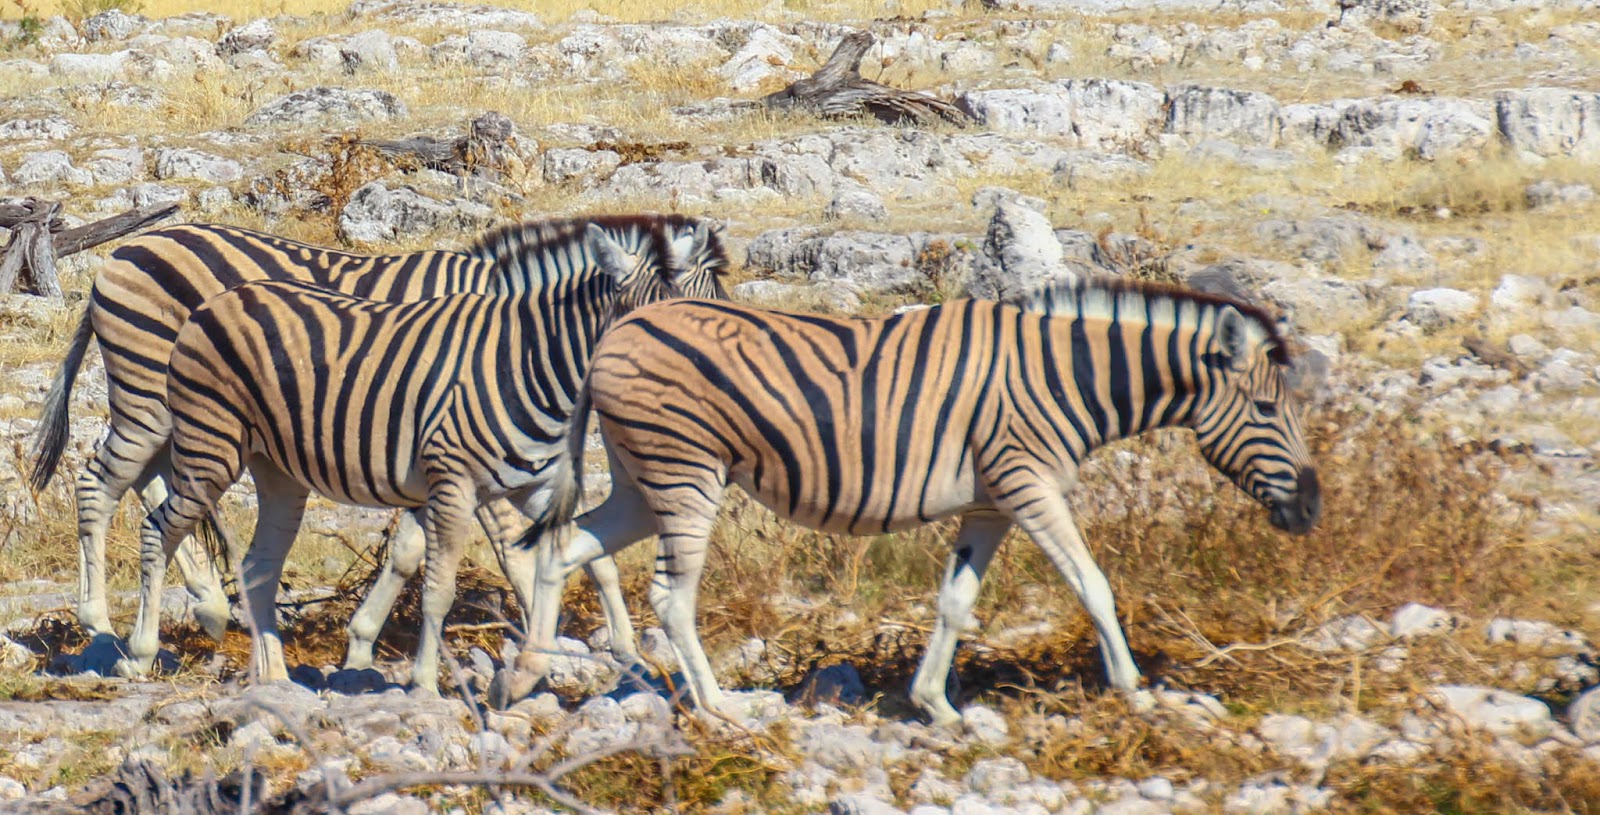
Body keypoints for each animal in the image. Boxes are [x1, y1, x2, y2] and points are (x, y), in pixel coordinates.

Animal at [28, 216, 725, 669]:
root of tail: (124, 251)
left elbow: (418, 551)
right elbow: (498, 547)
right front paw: (538, 632)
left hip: (175, 407)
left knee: (150, 485)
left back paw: (207, 605)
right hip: (150, 392)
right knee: (102, 483)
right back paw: (101, 624)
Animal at [497, 277, 1323, 725]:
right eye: (1266, 410)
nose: (1312, 509)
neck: (1069, 375)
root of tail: (619, 329)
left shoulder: (991, 503)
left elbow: (954, 601)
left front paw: (935, 703)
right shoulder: (1027, 482)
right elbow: (1092, 583)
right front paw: (1133, 692)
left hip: (644, 482)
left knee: (562, 546)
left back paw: (528, 674)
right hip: (685, 472)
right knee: (671, 594)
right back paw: (718, 706)